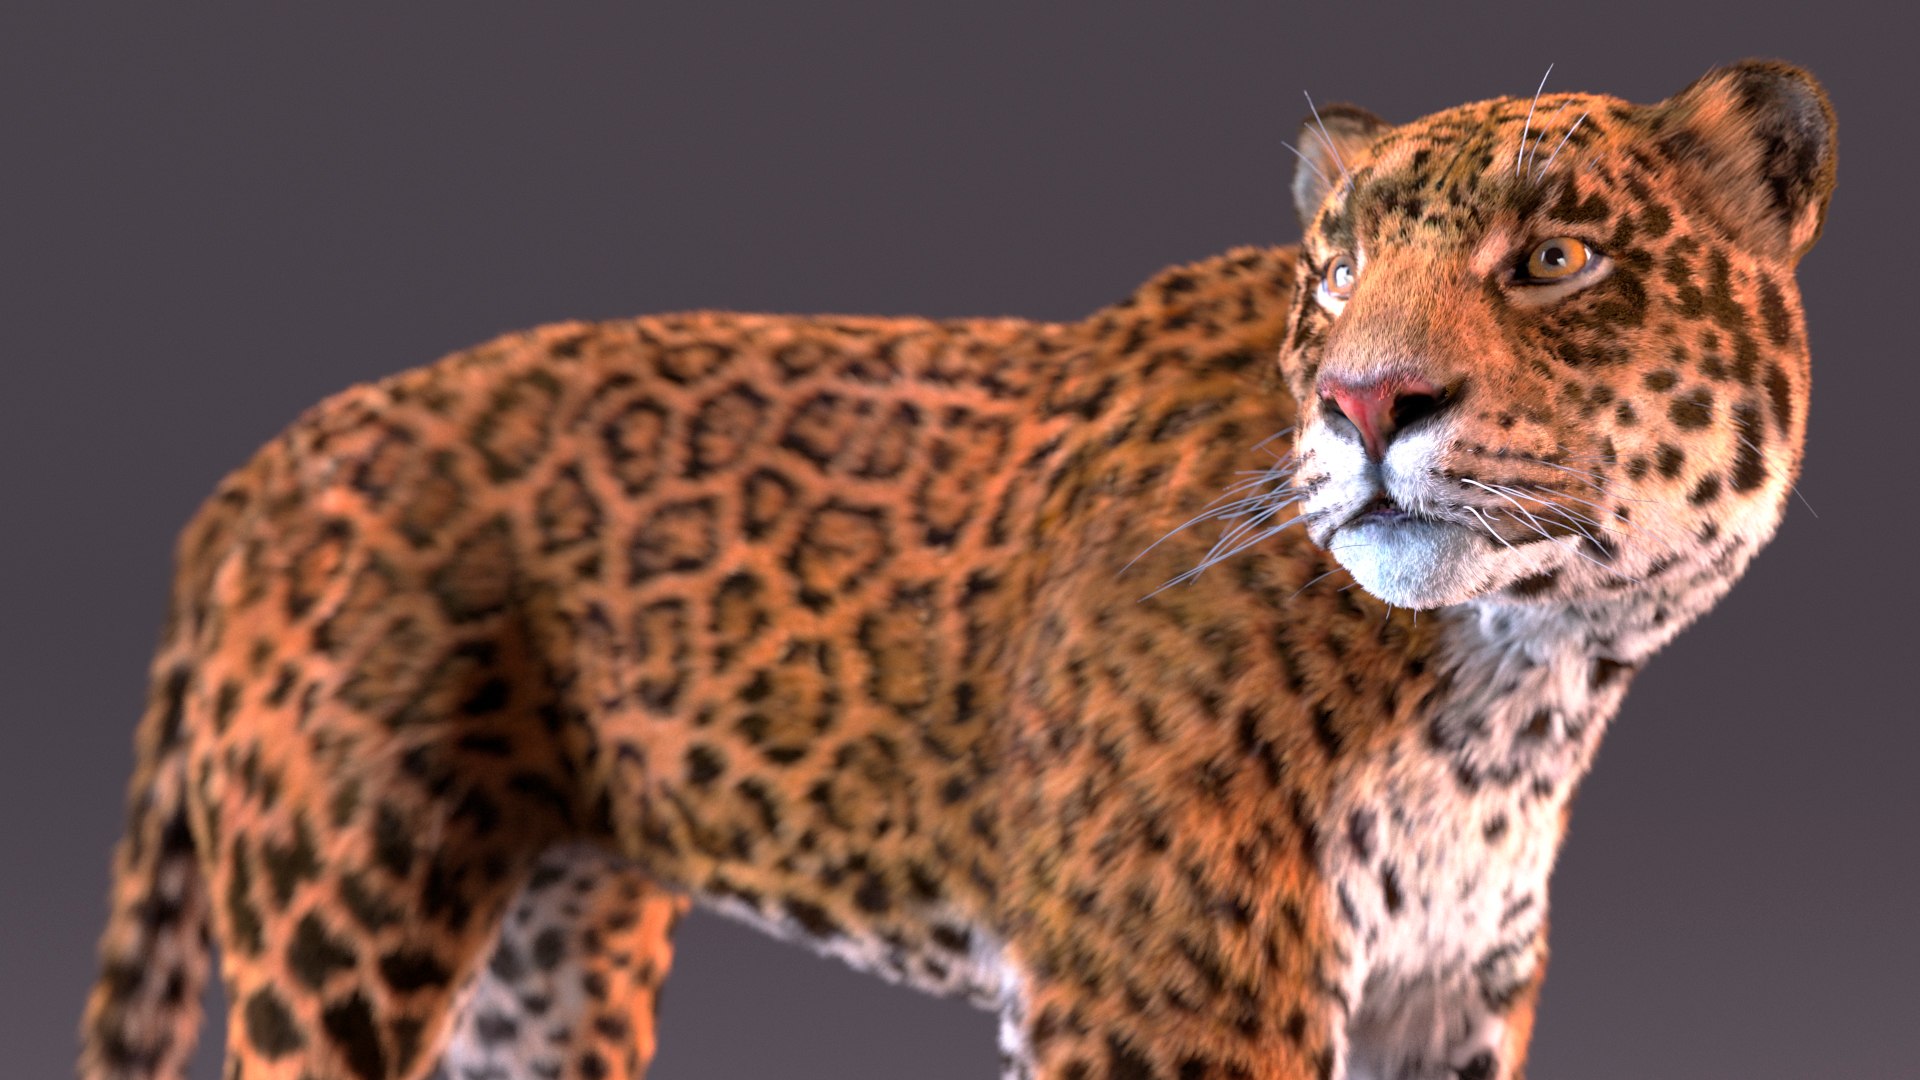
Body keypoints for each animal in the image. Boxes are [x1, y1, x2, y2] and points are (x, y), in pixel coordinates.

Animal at [80, 58, 1836, 1080]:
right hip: (346, 917)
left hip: (549, 958)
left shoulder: (1445, 993)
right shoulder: (1168, 1000)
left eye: (1556, 260)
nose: (1364, 403)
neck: (1513, 689)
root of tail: (264, 466)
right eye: (1335, 275)